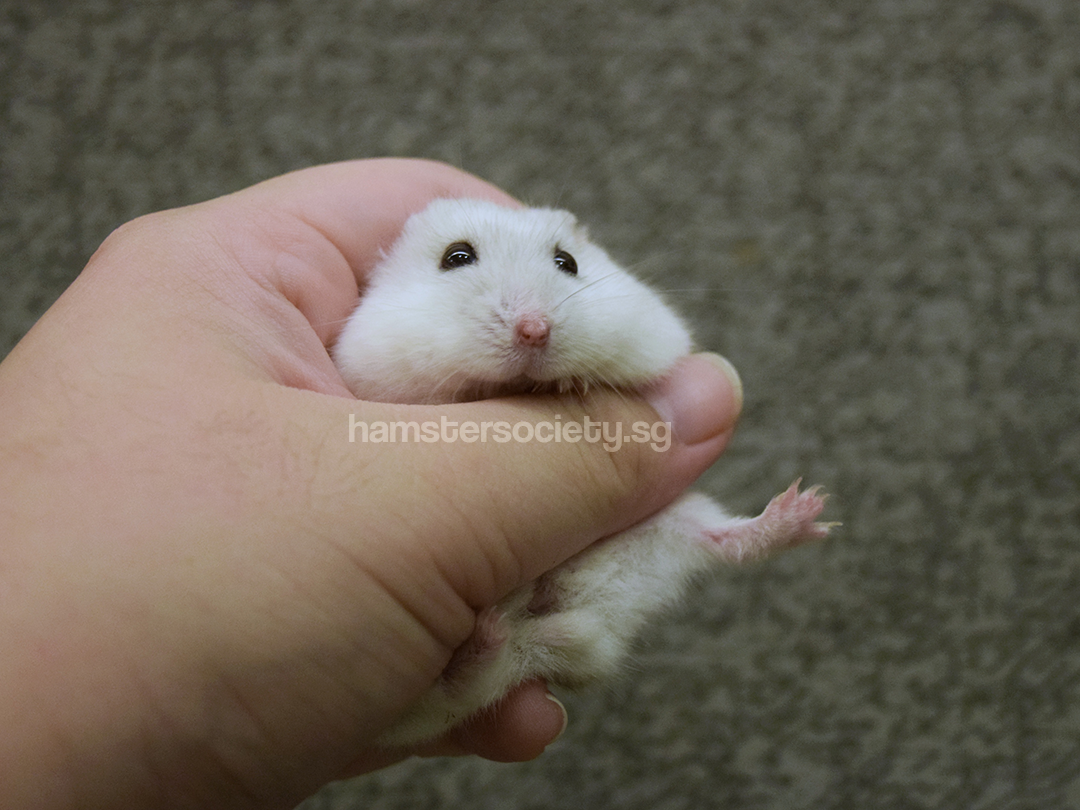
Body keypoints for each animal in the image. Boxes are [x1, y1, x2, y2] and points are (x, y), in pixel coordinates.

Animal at [332, 198, 832, 747]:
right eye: (455, 257)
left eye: (567, 262)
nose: (535, 329)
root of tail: (586, 637)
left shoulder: (651, 334)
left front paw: (567, 383)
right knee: (463, 687)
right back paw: (487, 635)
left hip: (674, 517)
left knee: (726, 542)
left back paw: (806, 510)